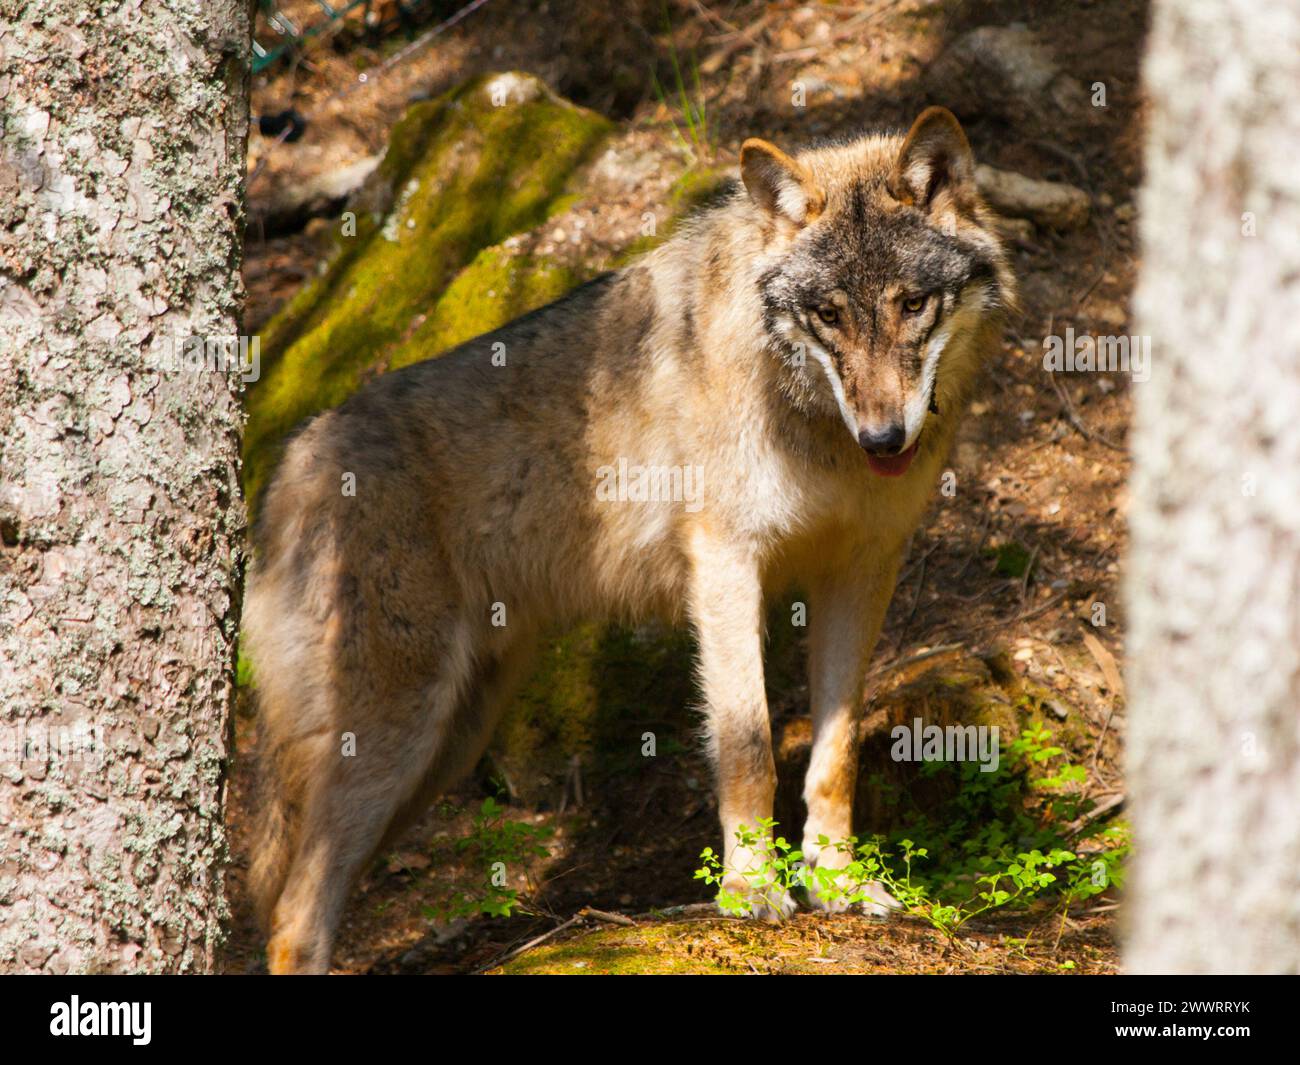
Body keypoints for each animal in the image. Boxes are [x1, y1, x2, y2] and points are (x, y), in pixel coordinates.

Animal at [245, 106, 1016, 973]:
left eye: (913, 303)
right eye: (830, 315)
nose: (884, 439)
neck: (819, 428)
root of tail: (288, 464)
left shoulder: (861, 569)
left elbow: (838, 751)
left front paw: (840, 886)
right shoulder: (726, 562)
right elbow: (747, 743)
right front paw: (750, 891)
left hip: (446, 744)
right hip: (395, 733)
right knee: (293, 915)